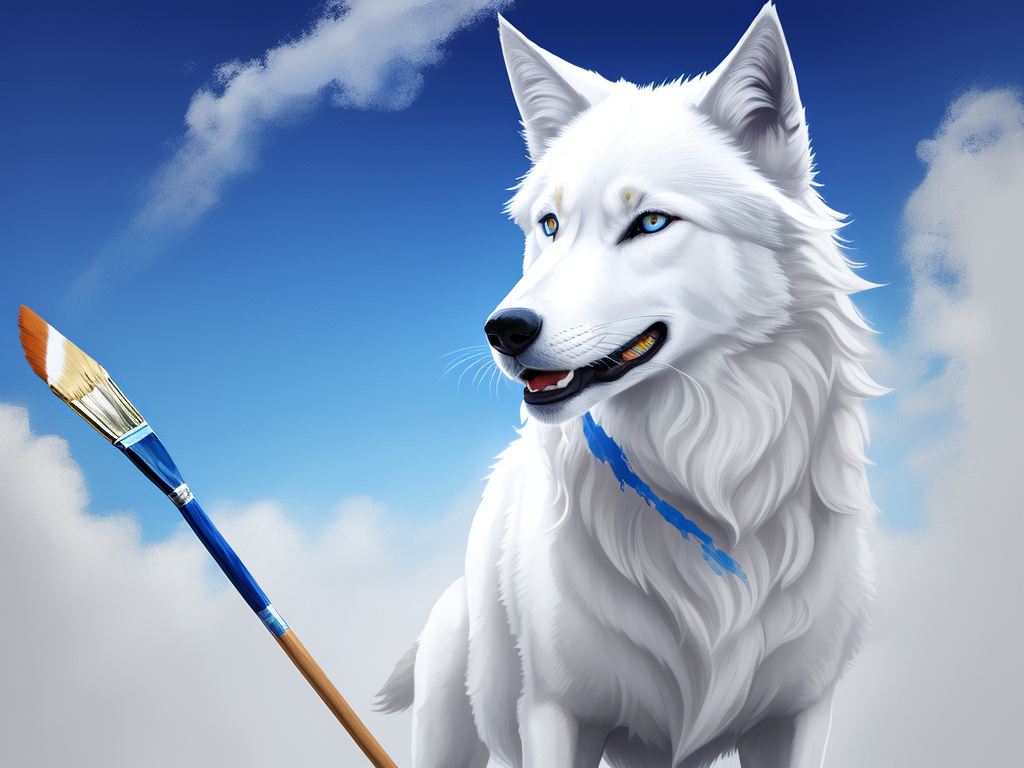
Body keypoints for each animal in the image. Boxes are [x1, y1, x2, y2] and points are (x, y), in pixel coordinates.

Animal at [377, 4, 882, 766]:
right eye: (549, 225)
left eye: (649, 222)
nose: (503, 330)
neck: (703, 471)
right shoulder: (556, 713)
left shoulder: (798, 713)